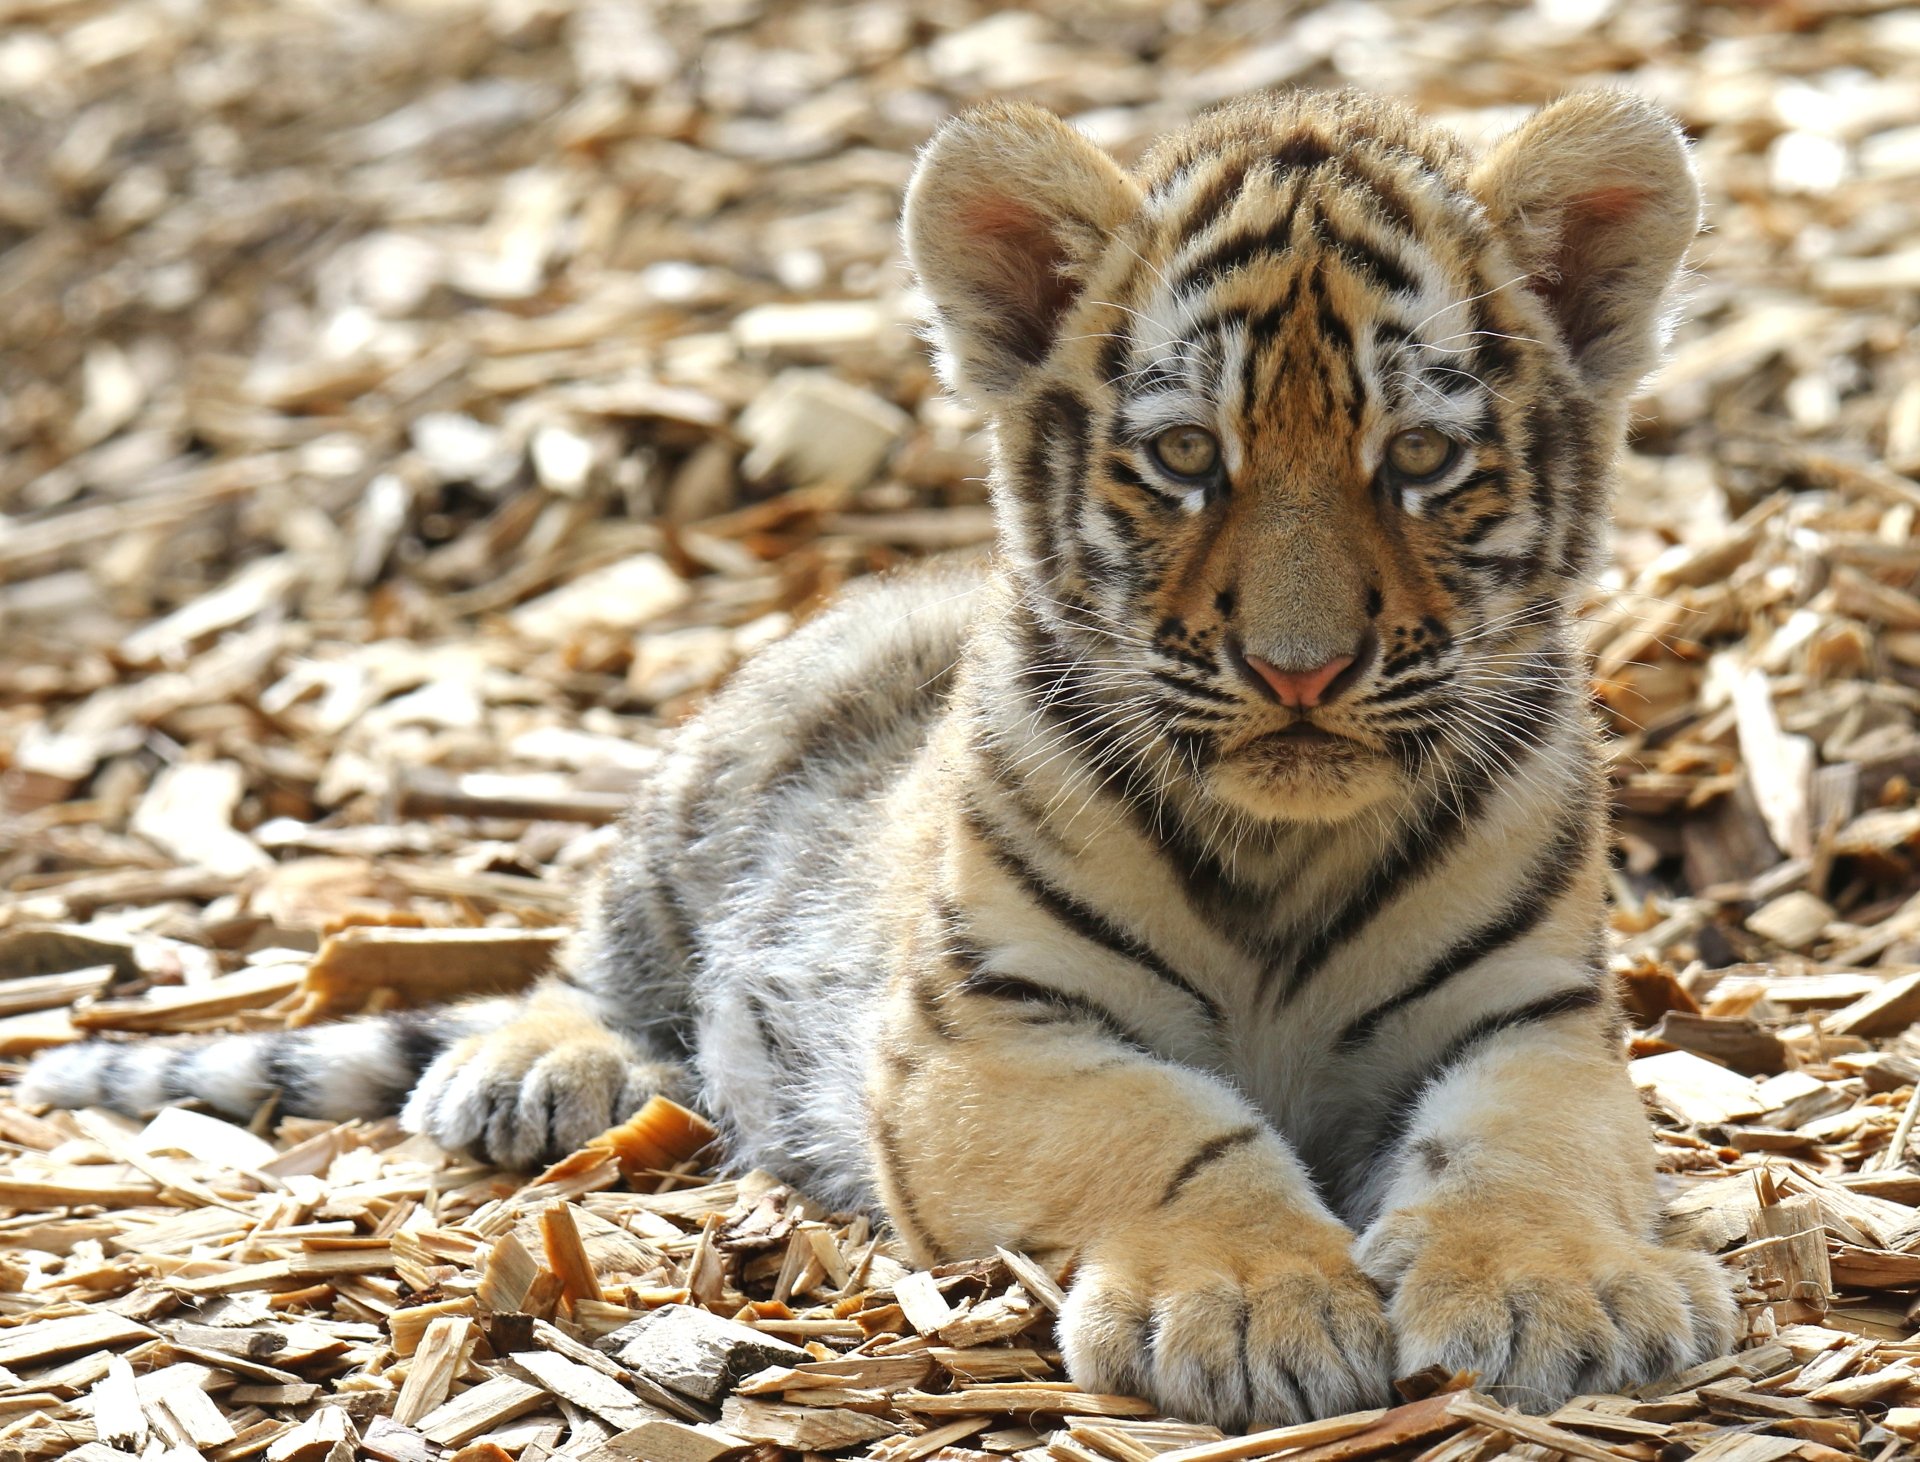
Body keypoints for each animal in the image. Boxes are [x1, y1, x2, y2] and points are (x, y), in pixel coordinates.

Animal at [23, 88, 1739, 1427]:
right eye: (1187, 455)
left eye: (1423, 458)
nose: (1300, 669)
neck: (1283, 843)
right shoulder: (988, 1032)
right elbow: (1173, 1132)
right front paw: (1252, 1305)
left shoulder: (1534, 1015)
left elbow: (1516, 1148)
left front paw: (1556, 1296)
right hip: (695, 806)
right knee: (594, 970)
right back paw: (534, 1069)